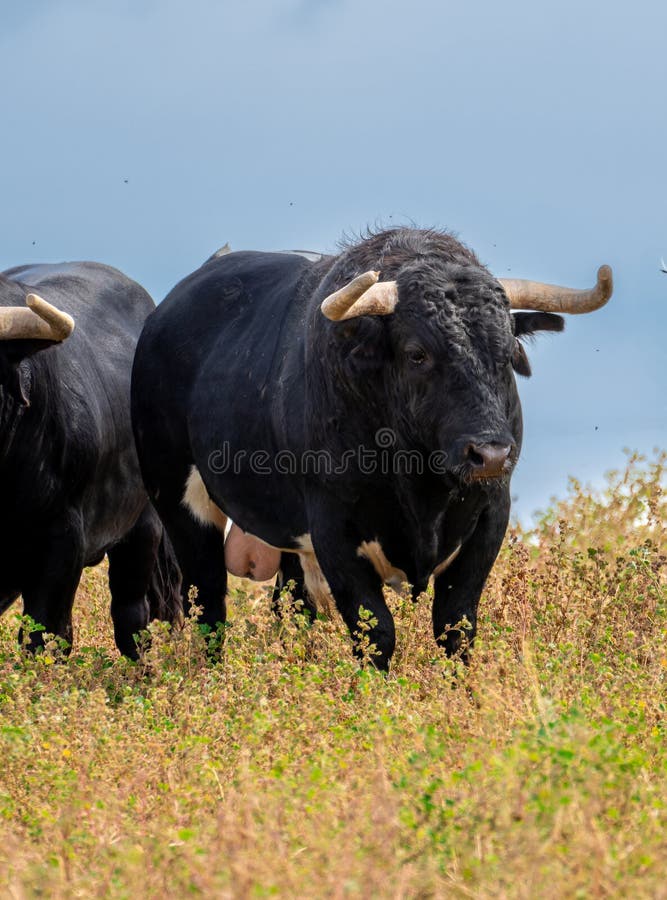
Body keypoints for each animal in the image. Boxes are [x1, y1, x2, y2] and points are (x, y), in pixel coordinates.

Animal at [131, 228, 612, 670]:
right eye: (417, 354)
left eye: (507, 350)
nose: (490, 454)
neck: (423, 490)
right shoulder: (334, 530)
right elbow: (376, 631)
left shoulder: (490, 514)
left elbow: (456, 626)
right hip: (178, 501)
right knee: (207, 604)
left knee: (291, 606)